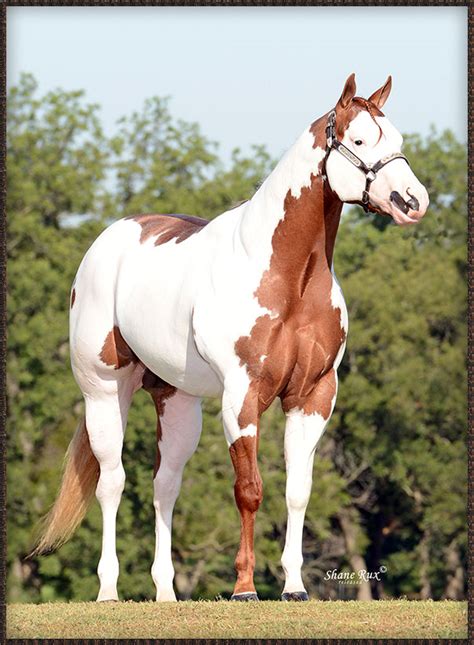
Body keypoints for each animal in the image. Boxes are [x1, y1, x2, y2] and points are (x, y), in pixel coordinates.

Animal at [32, 74, 429, 602]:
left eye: (399, 140)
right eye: (360, 141)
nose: (413, 201)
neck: (288, 277)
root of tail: (108, 240)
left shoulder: (313, 396)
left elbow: (297, 491)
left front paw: (294, 587)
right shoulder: (243, 396)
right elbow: (249, 490)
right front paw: (244, 587)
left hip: (176, 401)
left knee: (165, 486)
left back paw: (165, 594)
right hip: (104, 392)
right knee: (111, 483)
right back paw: (109, 591)